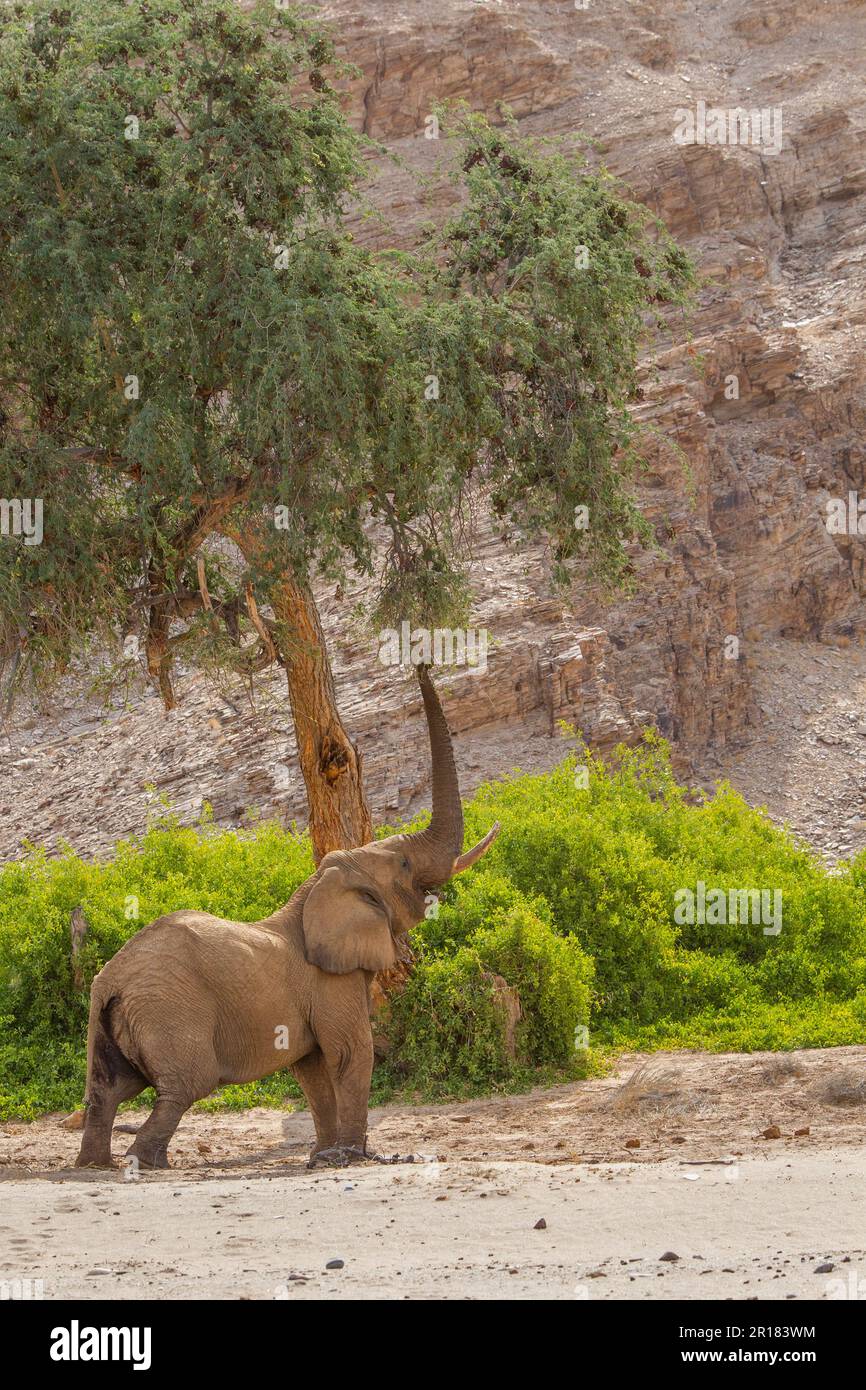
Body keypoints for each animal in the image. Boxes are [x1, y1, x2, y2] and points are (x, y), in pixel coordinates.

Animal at [75, 664, 499, 1170]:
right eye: (403, 864)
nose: (421, 664)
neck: (316, 888)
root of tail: (110, 980)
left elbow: (312, 1070)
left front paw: (325, 1154)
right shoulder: (329, 981)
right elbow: (351, 1054)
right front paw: (350, 1156)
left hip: (110, 1022)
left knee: (107, 1090)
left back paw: (95, 1166)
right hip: (168, 1010)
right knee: (184, 1087)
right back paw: (147, 1164)